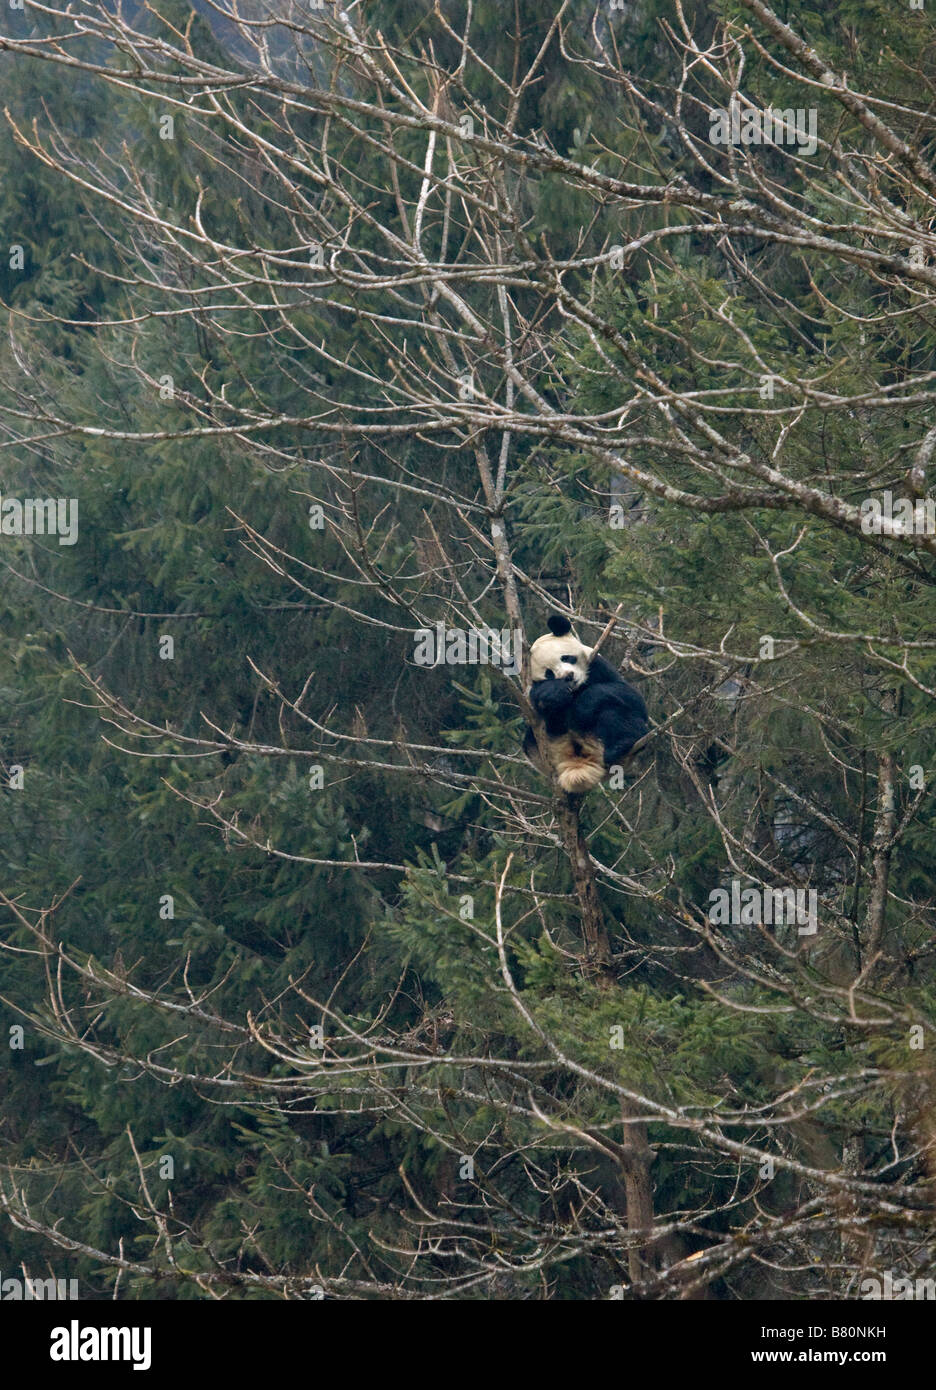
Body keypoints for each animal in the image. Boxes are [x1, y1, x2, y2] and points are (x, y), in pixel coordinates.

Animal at [522, 614, 649, 794]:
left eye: (566, 657)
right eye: (549, 673)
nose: (568, 676)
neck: (577, 688)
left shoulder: (597, 665)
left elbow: (632, 697)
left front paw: (581, 707)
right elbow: (538, 705)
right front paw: (554, 692)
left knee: (614, 713)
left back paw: (623, 744)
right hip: (541, 749)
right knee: (529, 740)